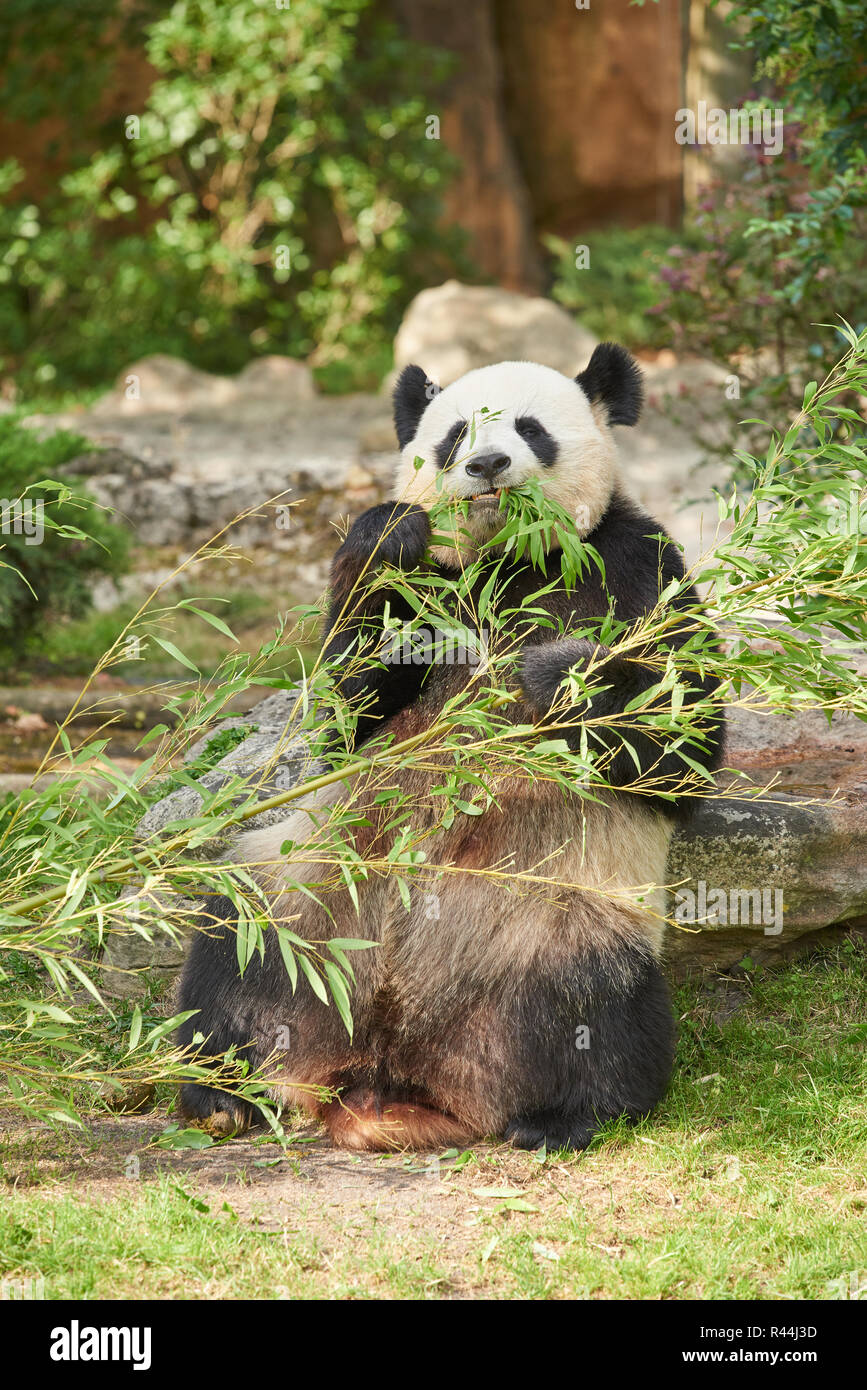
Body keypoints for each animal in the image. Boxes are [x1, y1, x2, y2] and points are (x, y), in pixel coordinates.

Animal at [177, 344, 724, 1152]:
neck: (507, 560)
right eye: (454, 434)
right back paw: (219, 1092)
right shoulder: (429, 591)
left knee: (600, 1011)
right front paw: (387, 537)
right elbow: (345, 712)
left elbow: (682, 741)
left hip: (555, 923)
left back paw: (561, 1117)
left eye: (530, 428)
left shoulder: (635, 565)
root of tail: (386, 1080)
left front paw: (556, 674)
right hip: (310, 896)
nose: (488, 464)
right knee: (235, 944)